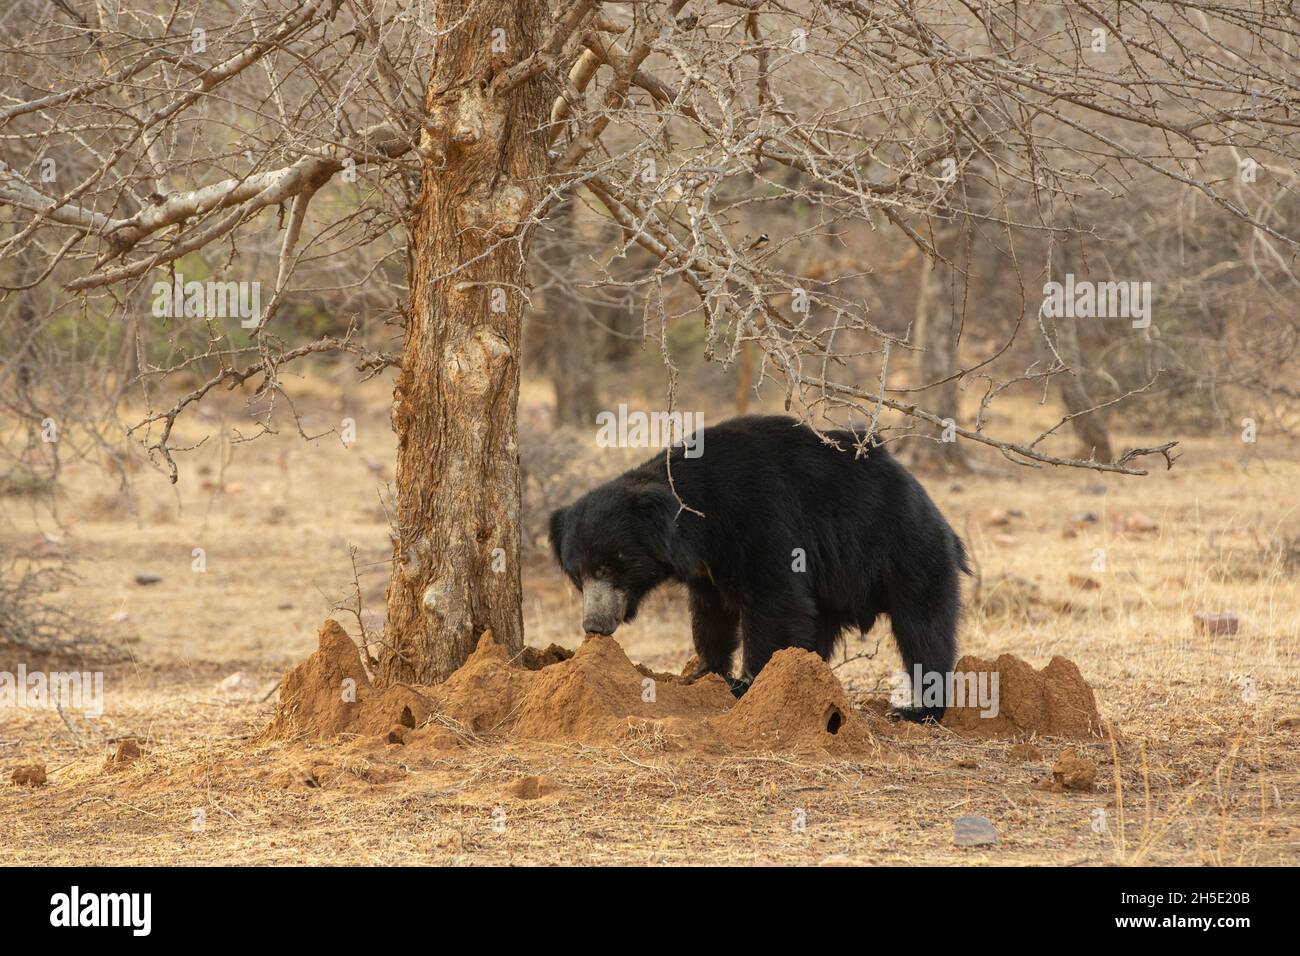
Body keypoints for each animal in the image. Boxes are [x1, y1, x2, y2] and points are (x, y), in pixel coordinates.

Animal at [547, 414, 970, 721]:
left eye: (609, 567)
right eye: (578, 575)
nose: (594, 625)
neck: (699, 522)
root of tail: (937, 515)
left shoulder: (760, 520)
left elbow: (774, 599)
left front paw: (749, 684)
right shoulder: (706, 568)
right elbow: (711, 616)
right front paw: (704, 673)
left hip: (906, 554)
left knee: (924, 628)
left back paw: (920, 709)